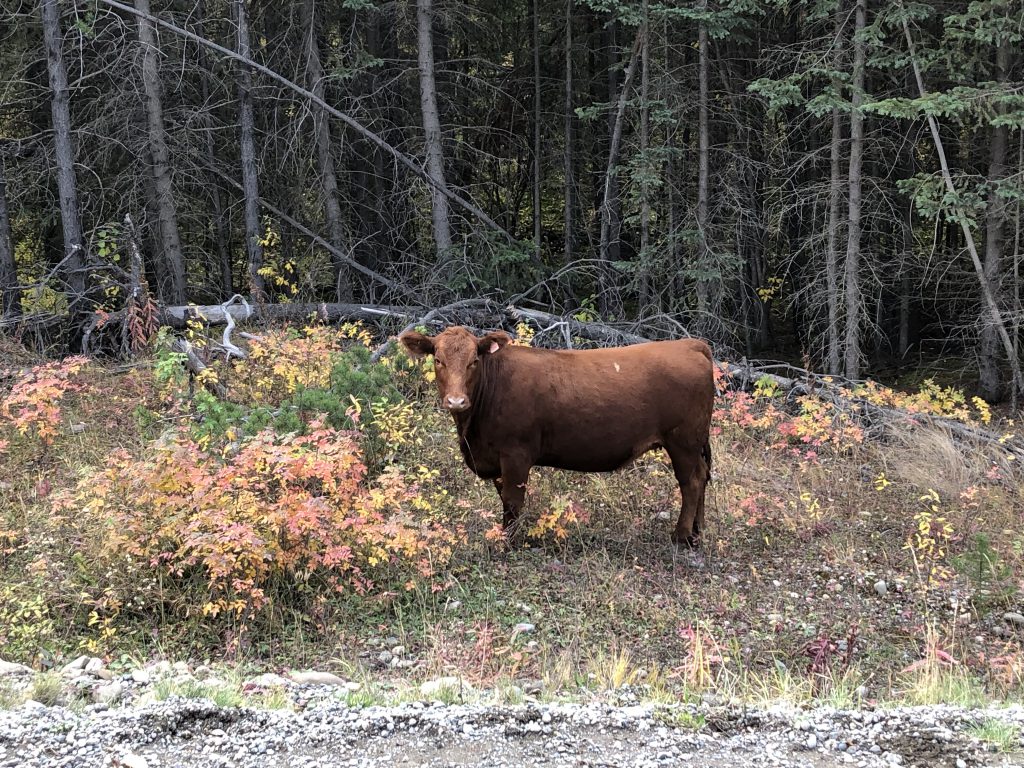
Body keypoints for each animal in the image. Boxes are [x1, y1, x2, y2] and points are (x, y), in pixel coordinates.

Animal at [398, 326, 715, 546]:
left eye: (474, 360)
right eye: (438, 360)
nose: (456, 401)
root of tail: (690, 344)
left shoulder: (515, 454)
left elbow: (513, 500)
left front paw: (508, 543)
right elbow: (504, 498)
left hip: (683, 441)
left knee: (691, 481)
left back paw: (681, 536)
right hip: (692, 442)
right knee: (702, 477)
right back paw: (697, 532)